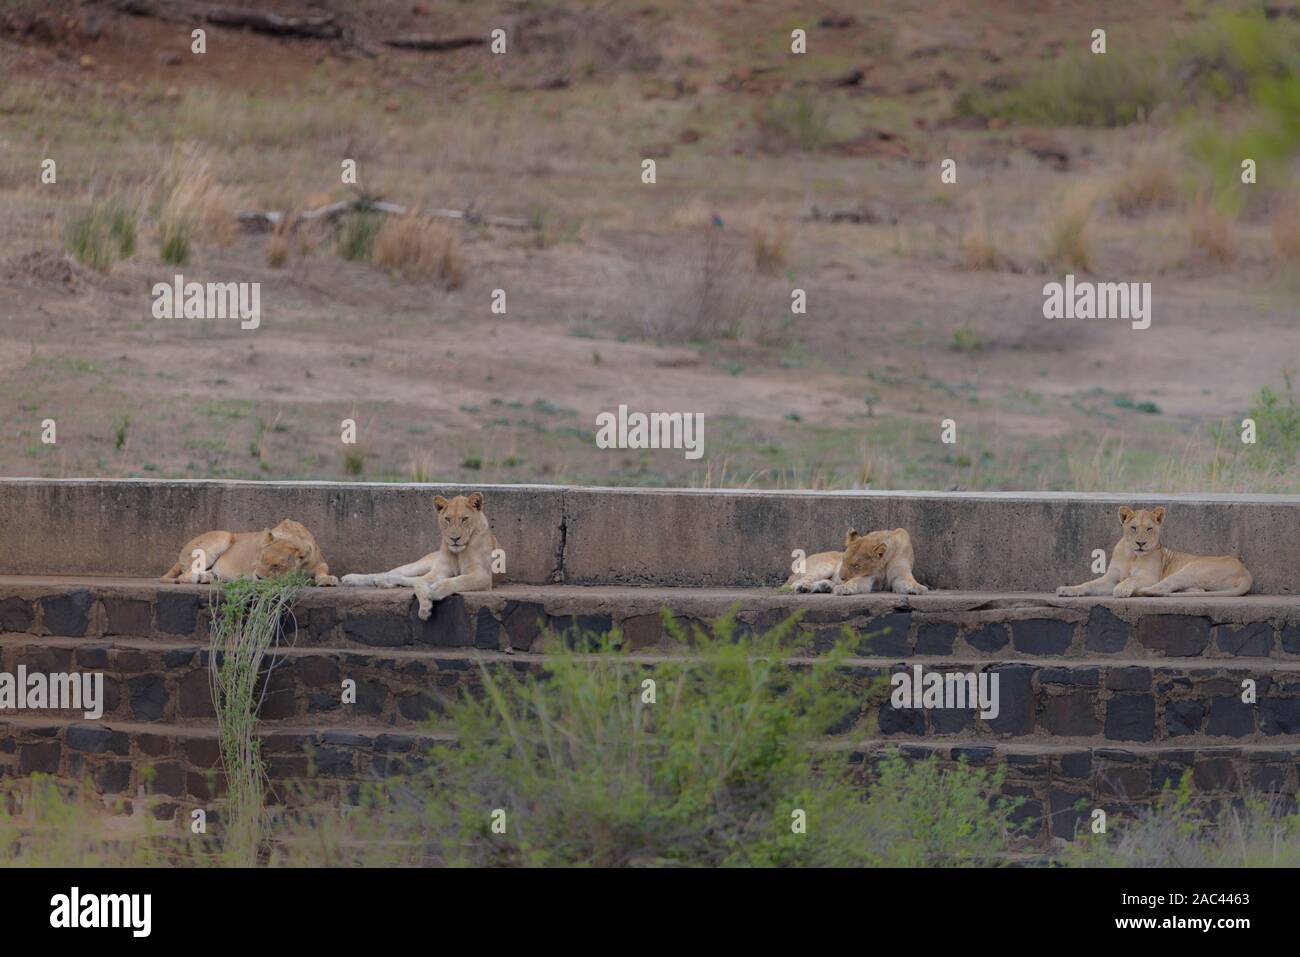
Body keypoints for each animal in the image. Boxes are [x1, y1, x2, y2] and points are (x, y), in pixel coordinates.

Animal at [160, 518, 338, 586]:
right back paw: (205, 577)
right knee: (184, 576)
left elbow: (323, 569)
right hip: (222, 536)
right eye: (260, 558)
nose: (258, 577)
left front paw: (326, 579)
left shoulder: (319, 561)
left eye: (276, 566)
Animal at [340, 491, 502, 620]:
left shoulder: (483, 576)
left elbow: (459, 580)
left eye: (465, 519)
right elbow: (420, 583)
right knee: (390, 573)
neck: (459, 552)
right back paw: (356, 579)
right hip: (419, 566)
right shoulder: (440, 571)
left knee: (404, 578)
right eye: (447, 519)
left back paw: (385, 582)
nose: (454, 539)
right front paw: (425, 607)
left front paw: (435, 590)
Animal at [785, 527, 929, 596]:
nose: (842, 578)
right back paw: (803, 587)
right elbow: (855, 581)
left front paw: (918, 588)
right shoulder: (868, 577)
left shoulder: (901, 574)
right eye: (843, 560)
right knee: (795, 583)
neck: (884, 561)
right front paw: (844, 588)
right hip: (822, 567)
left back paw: (823, 587)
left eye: (856, 566)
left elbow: (908, 581)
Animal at [1056, 506, 1252, 598]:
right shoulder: (1109, 579)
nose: (1141, 543)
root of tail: (1246, 572)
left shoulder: (1149, 576)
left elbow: (1132, 579)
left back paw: (1137, 592)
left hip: (1190, 569)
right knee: (1196, 590)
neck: (1131, 555)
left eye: (1149, 529)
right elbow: (1087, 584)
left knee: (1161, 586)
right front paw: (1067, 590)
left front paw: (1123, 588)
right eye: (1134, 528)